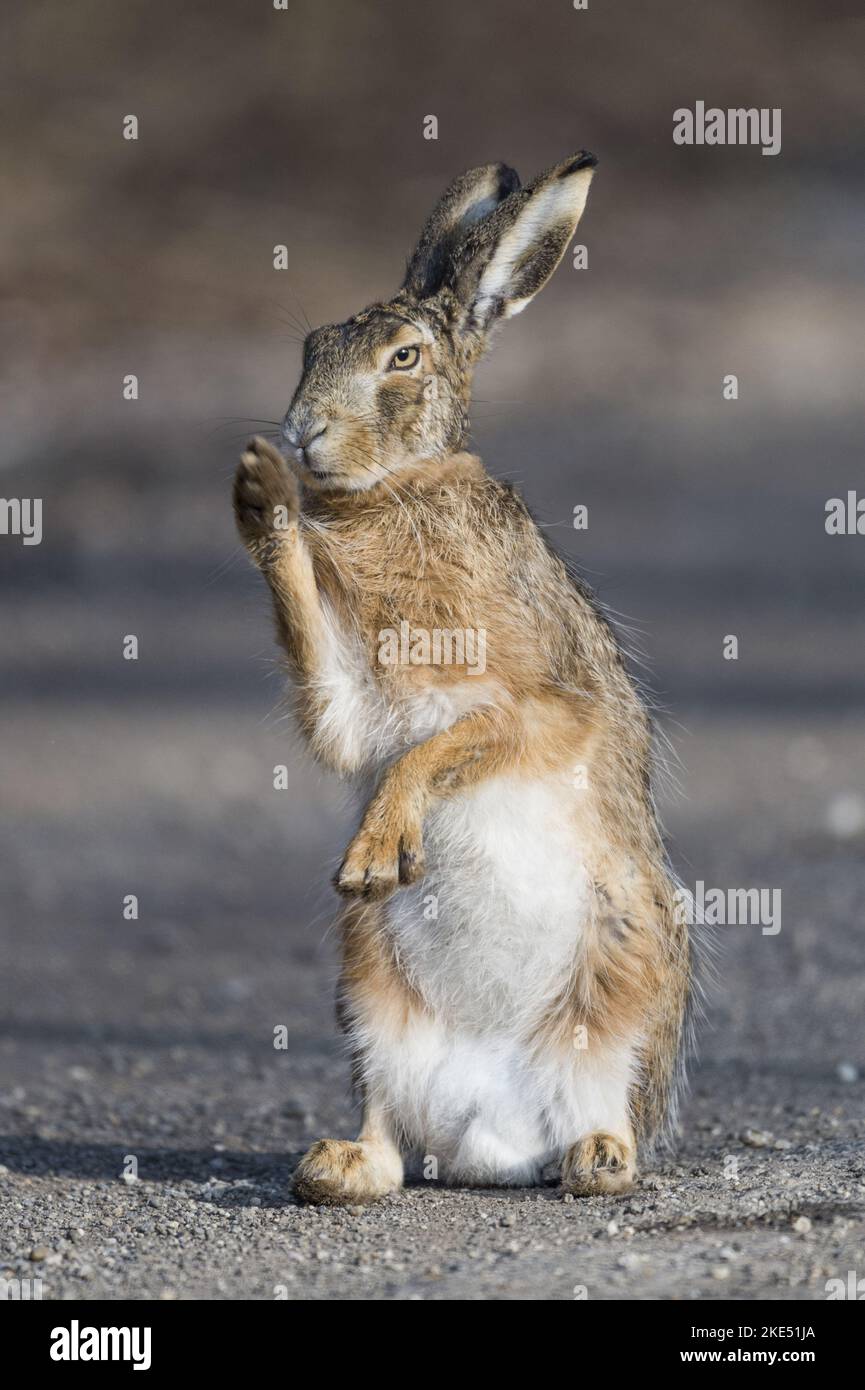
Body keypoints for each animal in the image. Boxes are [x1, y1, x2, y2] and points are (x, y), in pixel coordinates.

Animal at [233, 151, 690, 1204]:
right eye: (312, 345)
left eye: (403, 359)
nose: (300, 433)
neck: (399, 489)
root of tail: (492, 1143)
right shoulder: (355, 701)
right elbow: (346, 713)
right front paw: (260, 495)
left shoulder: (548, 703)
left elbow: (445, 743)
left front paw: (376, 852)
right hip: (369, 989)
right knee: (388, 1144)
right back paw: (335, 1165)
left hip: (630, 967)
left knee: (605, 1114)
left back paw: (598, 1157)